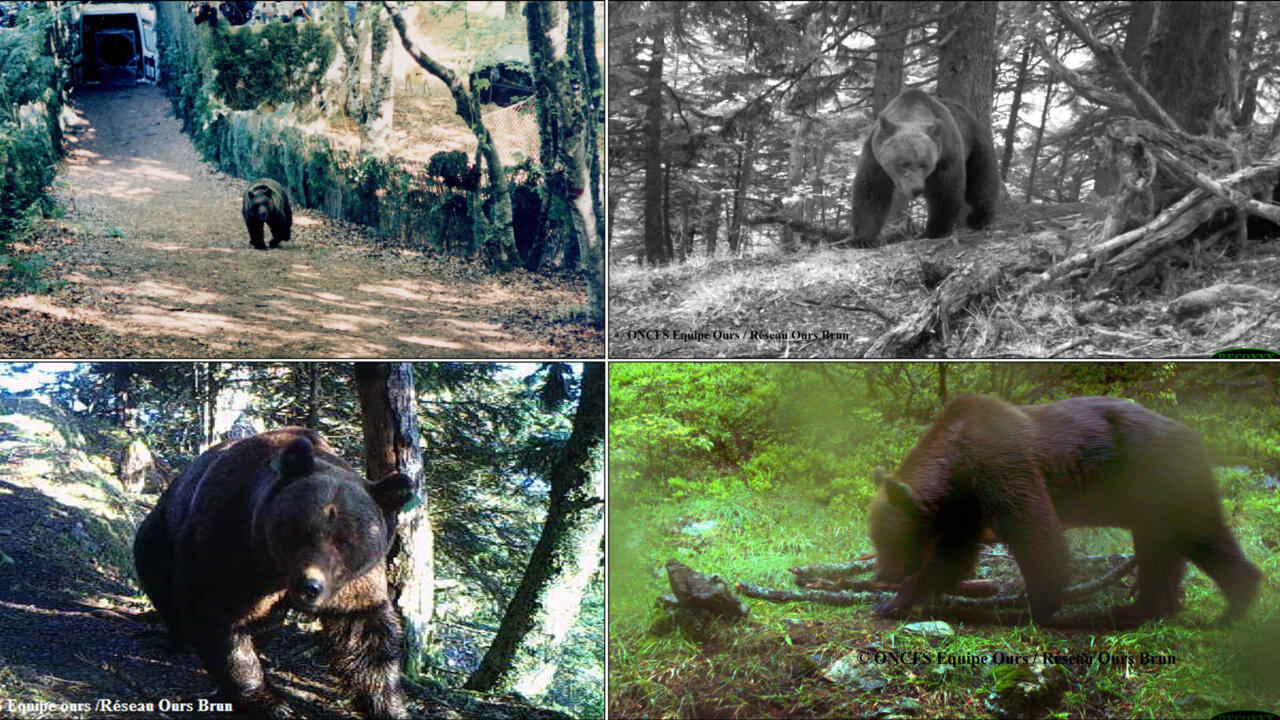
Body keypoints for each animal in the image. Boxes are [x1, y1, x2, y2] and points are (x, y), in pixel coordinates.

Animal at [133, 428, 413, 719]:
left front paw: (389, 705)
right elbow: (217, 615)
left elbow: (365, 636)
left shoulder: (354, 584)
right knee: (159, 574)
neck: (276, 573)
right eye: (303, 531)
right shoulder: (227, 544)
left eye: (345, 541)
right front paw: (270, 702)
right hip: (163, 531)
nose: (309, 587)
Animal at [852, 88, 999, 245]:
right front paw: (864, 238)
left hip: (975, 143)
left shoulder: (945, 153)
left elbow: (944, 190)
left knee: (981, 181)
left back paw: (979, 218)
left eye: (924, 164)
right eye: (903, 163)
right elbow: (871, 191)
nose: (916, 189)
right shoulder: (875, 157)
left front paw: (934, 231)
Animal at [867, 394, 1260, 626]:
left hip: (1163, 479)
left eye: (890, 539)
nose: (881, 573)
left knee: (1199, 533)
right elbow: (953, 559)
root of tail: (1196, 438)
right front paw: (894, 602)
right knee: (1160, 551)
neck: (955, 467)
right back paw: (1143, 606)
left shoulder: (1002, 466)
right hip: (1149, 502)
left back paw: (1236, 603)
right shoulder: (967, 506)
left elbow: (1035, 533)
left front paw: (1034, 606)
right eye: (876, 537)